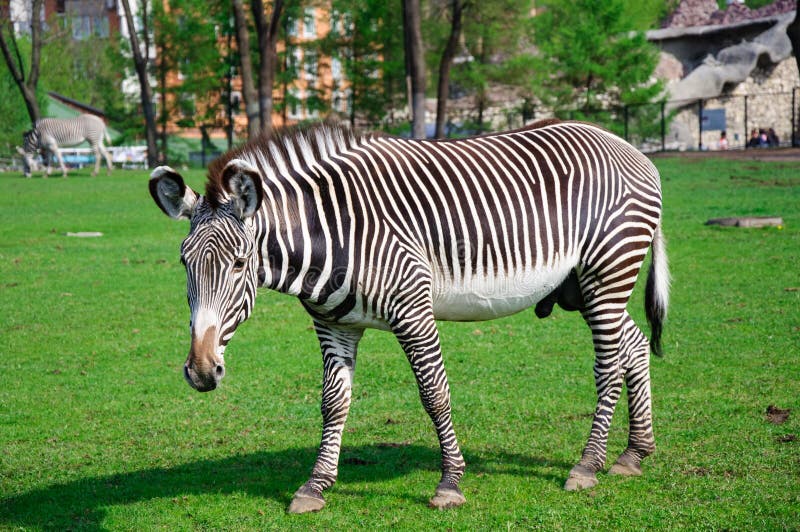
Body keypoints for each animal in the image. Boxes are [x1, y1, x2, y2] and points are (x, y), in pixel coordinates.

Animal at [149, 120, 669, 513]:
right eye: (184, 263)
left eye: (239, 264)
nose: (201, 371)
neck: (330, 234)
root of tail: (628, 147)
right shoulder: (334, 325)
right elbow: (333, 402)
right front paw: (315, 487)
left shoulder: (413, 310)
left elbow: (434, 395)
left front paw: (450, 483)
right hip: (583, 286)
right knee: (634, 344)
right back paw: (634, 453)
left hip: (607, 271)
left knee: (609, 365)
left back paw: (588, 464)